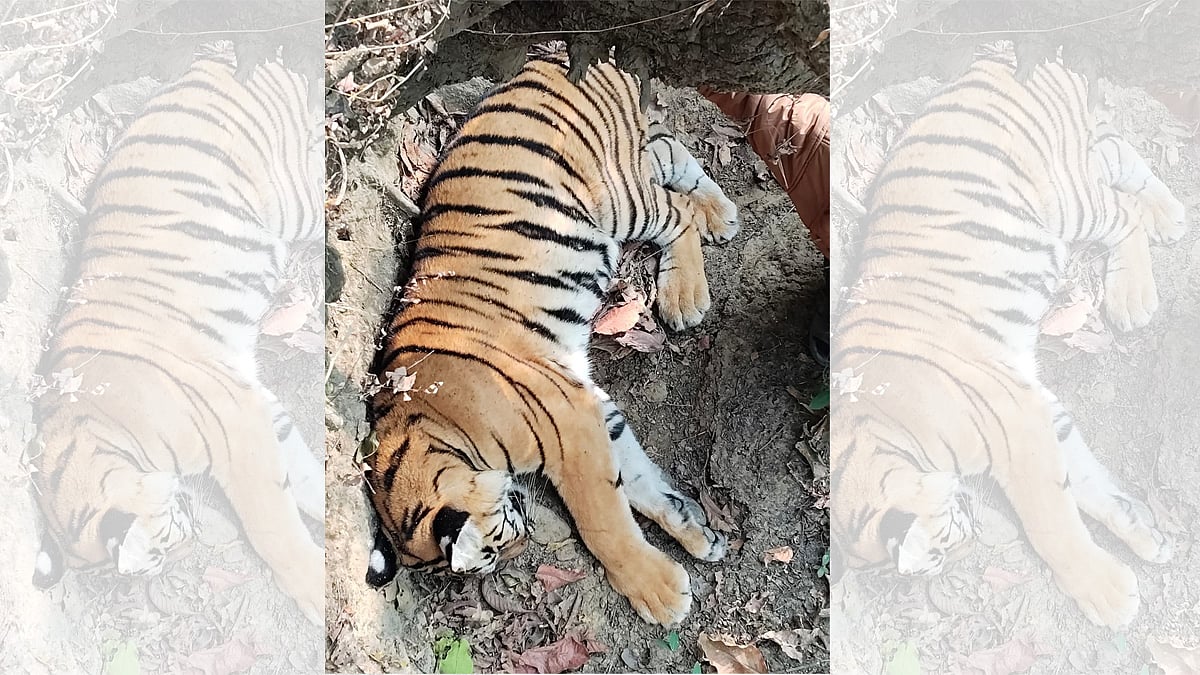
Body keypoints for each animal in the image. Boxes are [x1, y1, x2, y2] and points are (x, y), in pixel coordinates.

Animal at [28, 56, 324, 624]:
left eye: (162, 543)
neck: (104, 432)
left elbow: (273, 528)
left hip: (301, 198)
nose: (190, 533)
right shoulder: (256, 407)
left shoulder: (238, 428)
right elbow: (304, 479)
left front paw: (314, 590)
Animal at [364, 57, 739, 626]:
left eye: (500, 539)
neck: (431, 429)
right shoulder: (588, 405)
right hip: (632, 162)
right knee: (674, 156)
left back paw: (686, 294)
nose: (528, 537)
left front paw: (659, 591)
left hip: (619, 197)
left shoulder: (570, 425)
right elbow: (642, 483)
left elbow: (603, 518)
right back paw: (723, 214)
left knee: (677, 212)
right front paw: (696, 531)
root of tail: (552, 55)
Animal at [831, 53, 1187, 628]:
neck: (884, 435)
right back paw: (1170, 216)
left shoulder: (1018, 428)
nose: (973, 536)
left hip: (1066, 198)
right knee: (1123, 158)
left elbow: (1052, 520)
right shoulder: (1036, 406)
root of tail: (994, 54)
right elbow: (1091, 484)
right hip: (1079, 161)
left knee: (1121, 210)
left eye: (942, 545)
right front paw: (1145, 534)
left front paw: (1109, 594)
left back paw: (1133, 295)